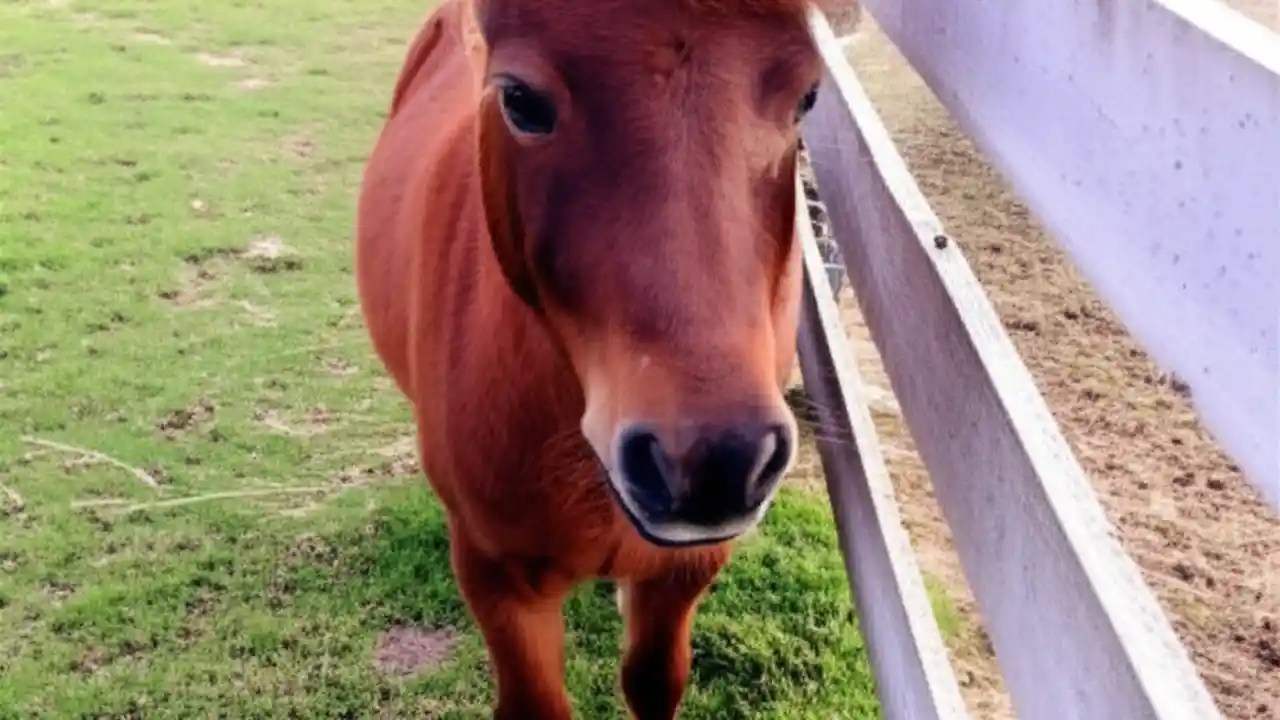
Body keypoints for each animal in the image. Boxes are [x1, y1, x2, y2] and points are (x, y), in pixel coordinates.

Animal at [355, 0, 823, 716]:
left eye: (808, 97)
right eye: (520, 99)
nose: (714, 463)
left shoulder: (683, 573)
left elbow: (655, 681)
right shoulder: (501, 583)